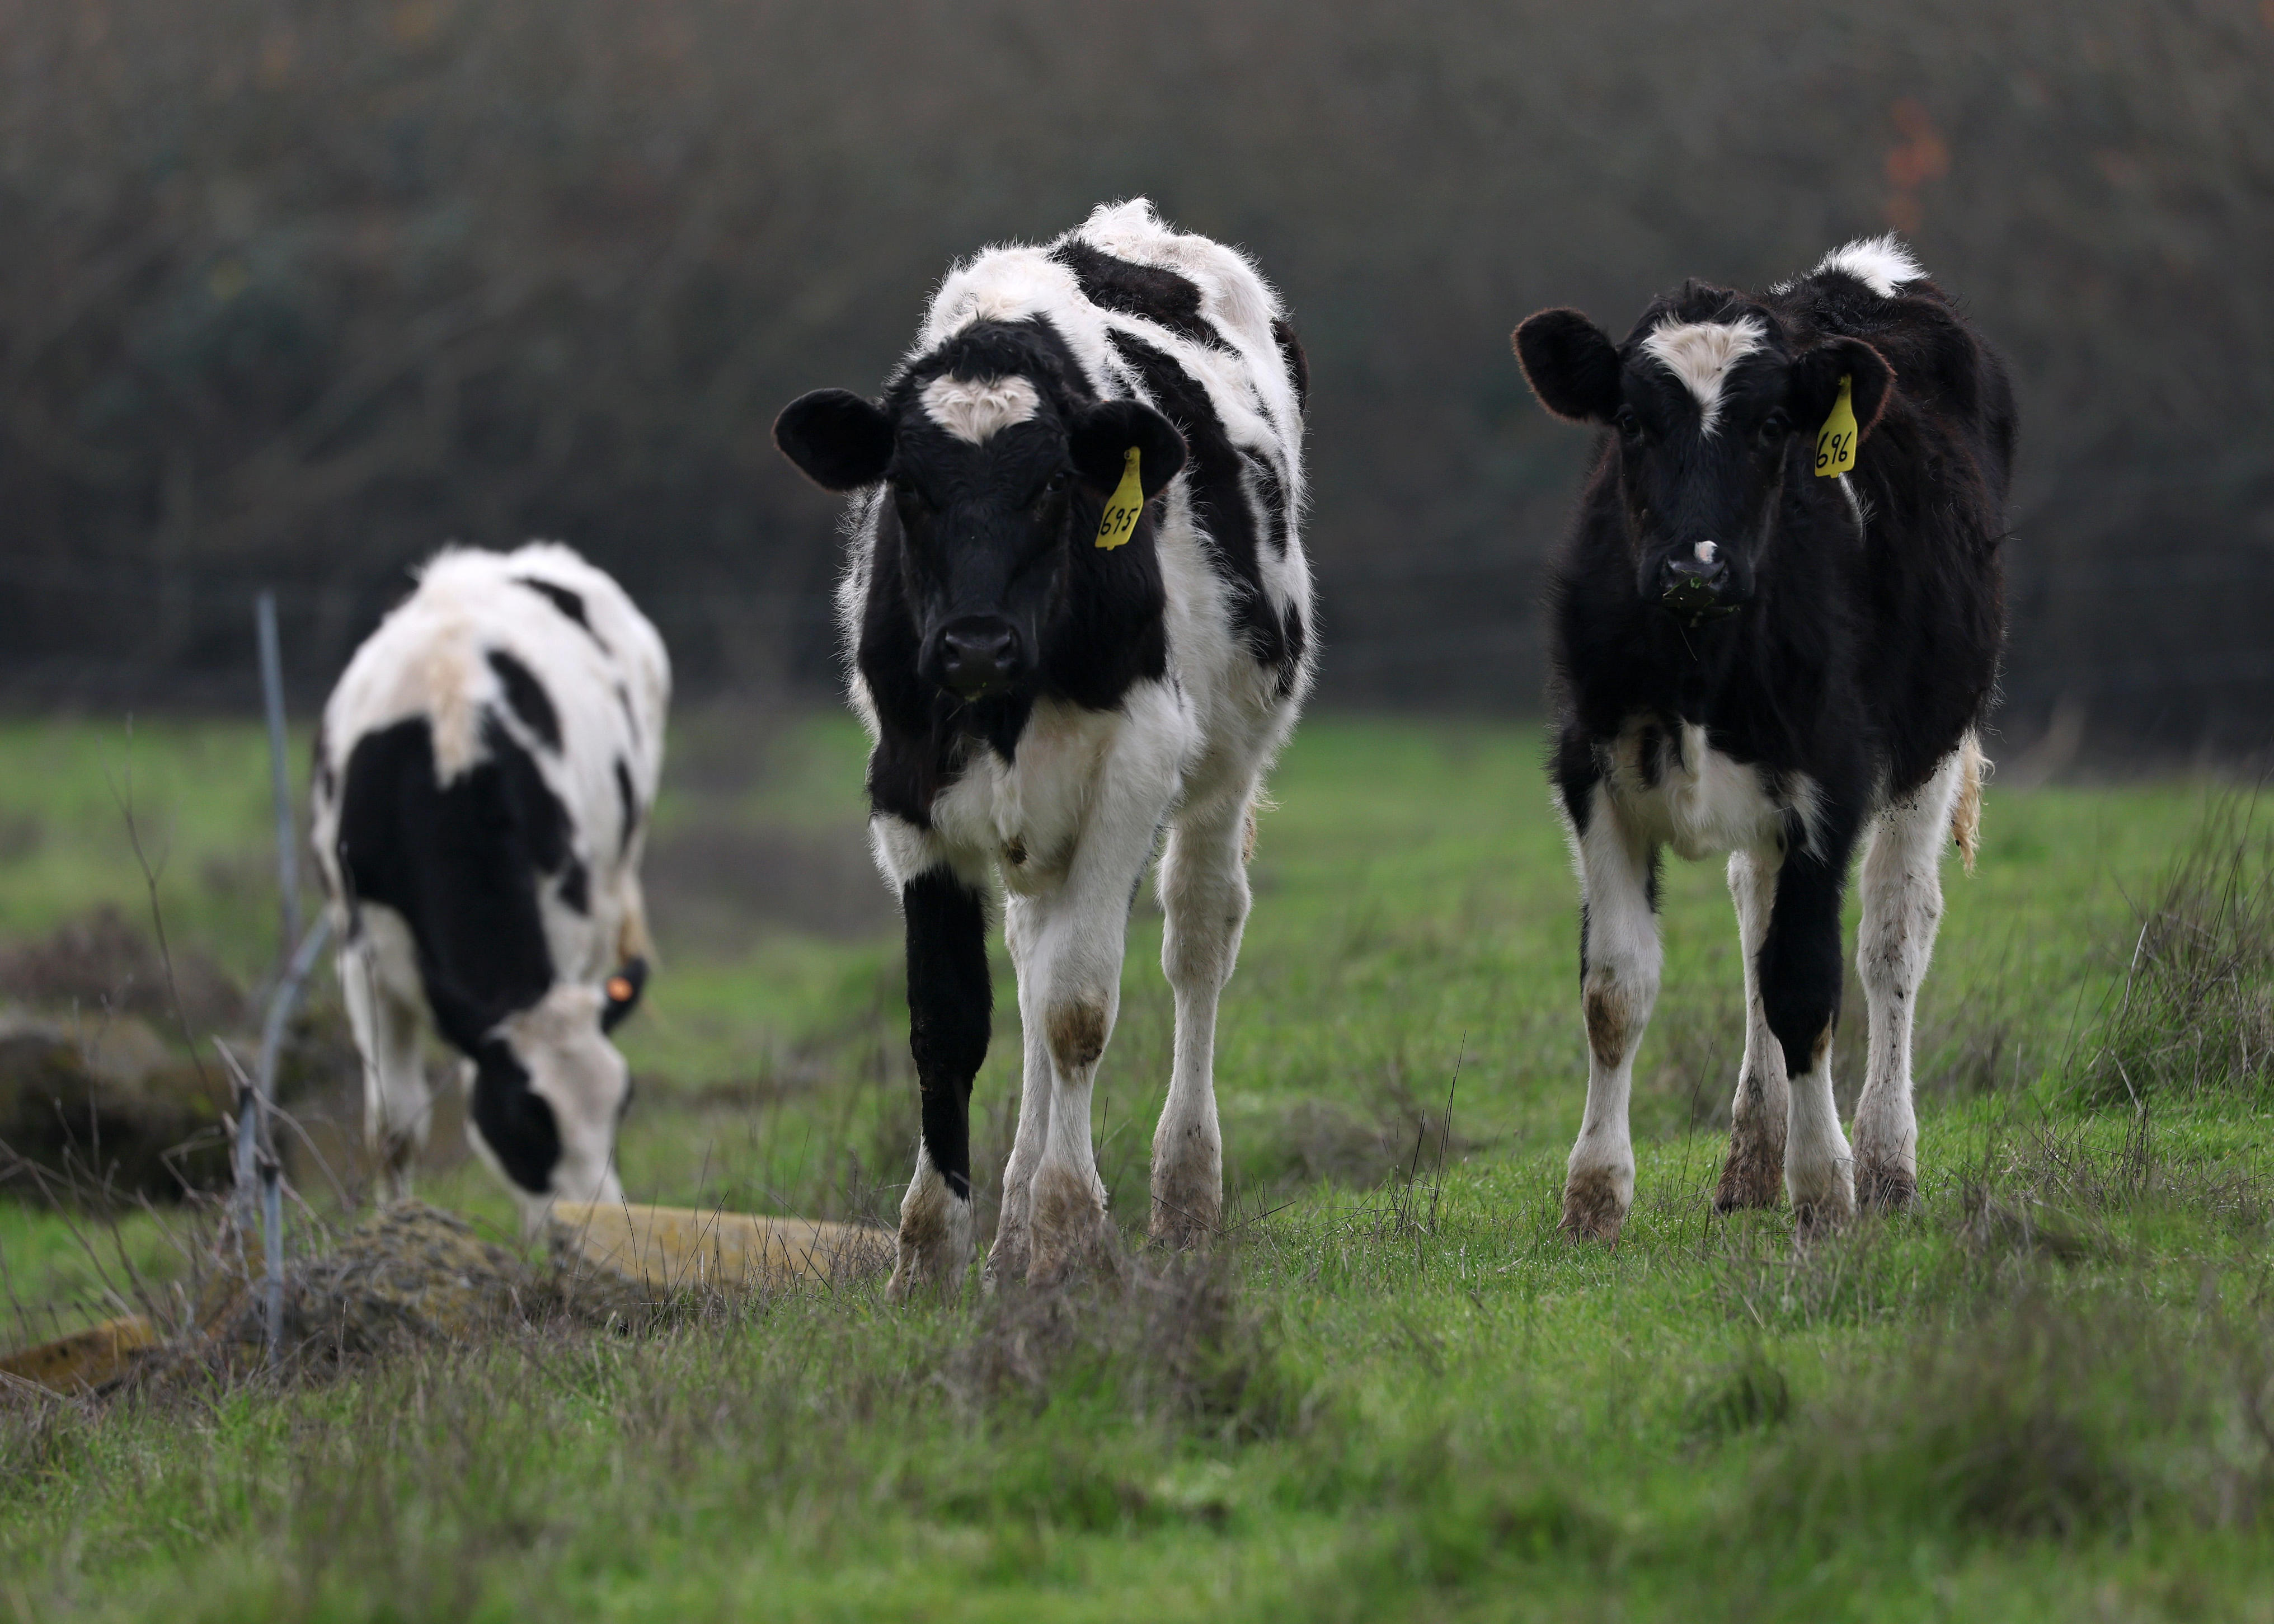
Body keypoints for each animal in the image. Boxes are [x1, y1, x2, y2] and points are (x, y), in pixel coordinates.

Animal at [310, 542, 670, 1231]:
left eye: (622, 1107)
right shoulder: (364, 959)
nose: (598, 1224)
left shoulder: (567, 924)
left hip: (614, 883)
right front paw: (396, 1223)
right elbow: (394, 1128)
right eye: (526, 1119)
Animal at [772, 199, 1313, 1296]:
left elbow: (1076, 1009)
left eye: (1054, 485)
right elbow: (950, 1021)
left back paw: (1178, 1197)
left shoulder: (1131, 769)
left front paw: (1069, 1234)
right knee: (1026, 963)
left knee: (1196, 941)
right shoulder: (906, 794)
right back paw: (1013, 1226)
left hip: (1225, 767)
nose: (975, 643)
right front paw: (933, 1251)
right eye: (908, 487)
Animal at [1510, 236, 2012, 1238]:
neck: (1704, 657)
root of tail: (1862, 271)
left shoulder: (1832, 782)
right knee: (1754, 919)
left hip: (1933, 745)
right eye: (1631, 420)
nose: (1695, 564)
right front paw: (1595, 1192)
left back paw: (1887, 1161)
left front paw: (1824, 1187)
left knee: (1893, 935)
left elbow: (1806, 984)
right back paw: (1749, 1161)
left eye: (1775, 423)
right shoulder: (1592, 772)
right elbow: (1616, 987)